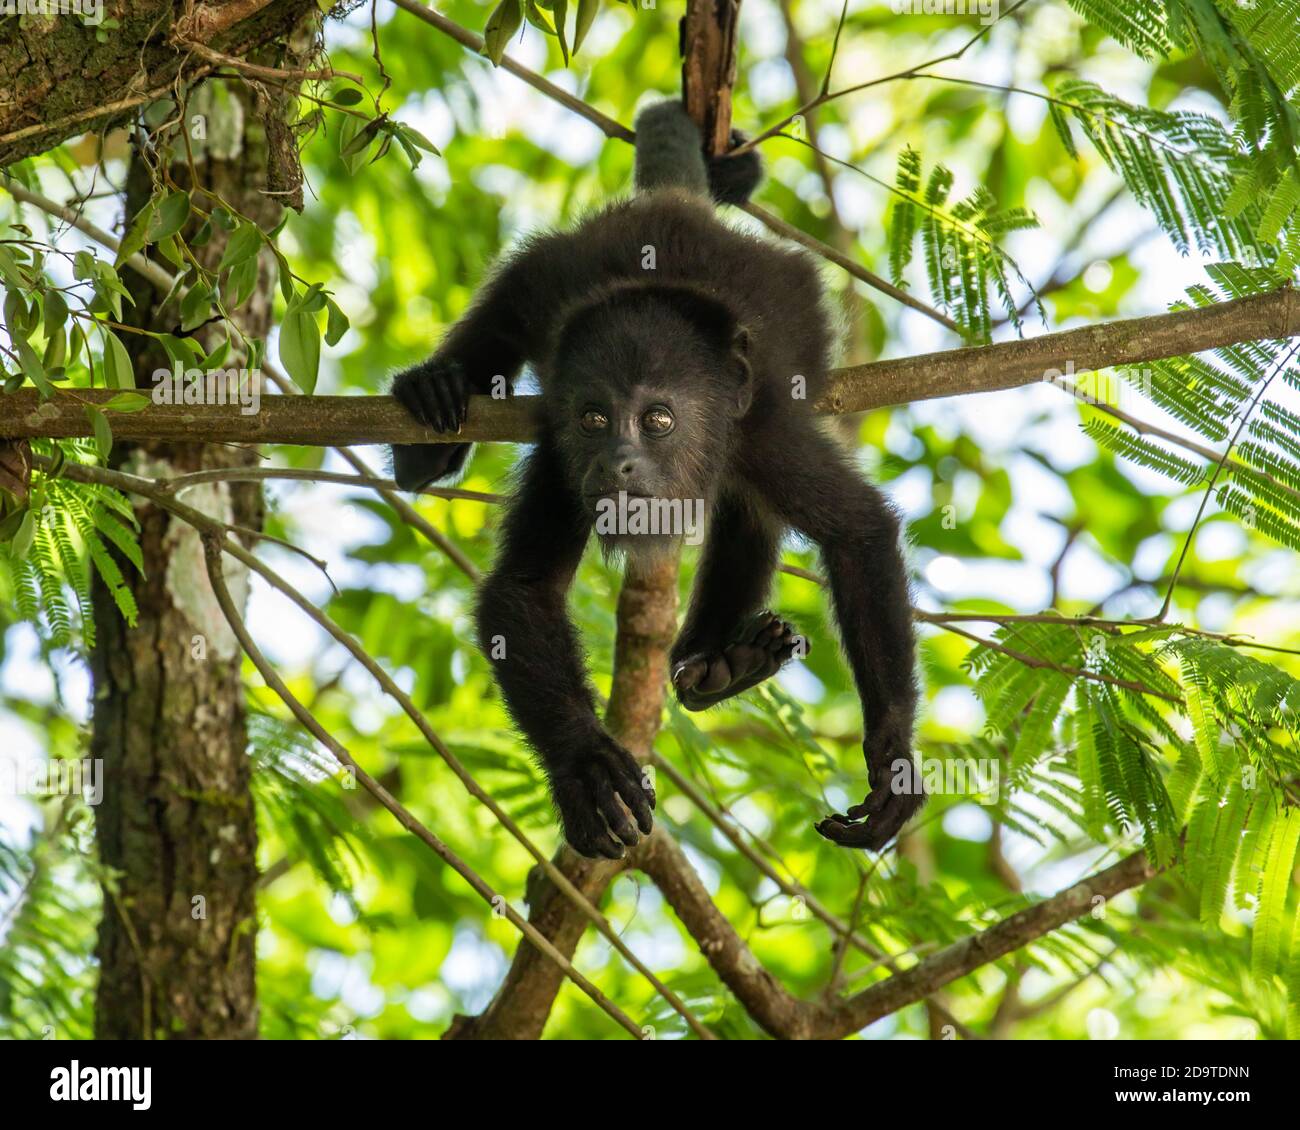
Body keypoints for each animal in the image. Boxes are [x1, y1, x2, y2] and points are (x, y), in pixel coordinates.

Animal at [390, 100, 922, 860]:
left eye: (658, 419)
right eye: (593, 418)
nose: (617, 463)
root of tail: (677, 207)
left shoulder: (764, 434)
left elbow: (857, 530)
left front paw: (894, 758)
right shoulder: (561, 454)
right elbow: (523, 589)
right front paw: (584, 766)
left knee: (747, 513)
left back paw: (714, 665)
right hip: (546, 271)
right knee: (509, 308)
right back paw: (432, 411)